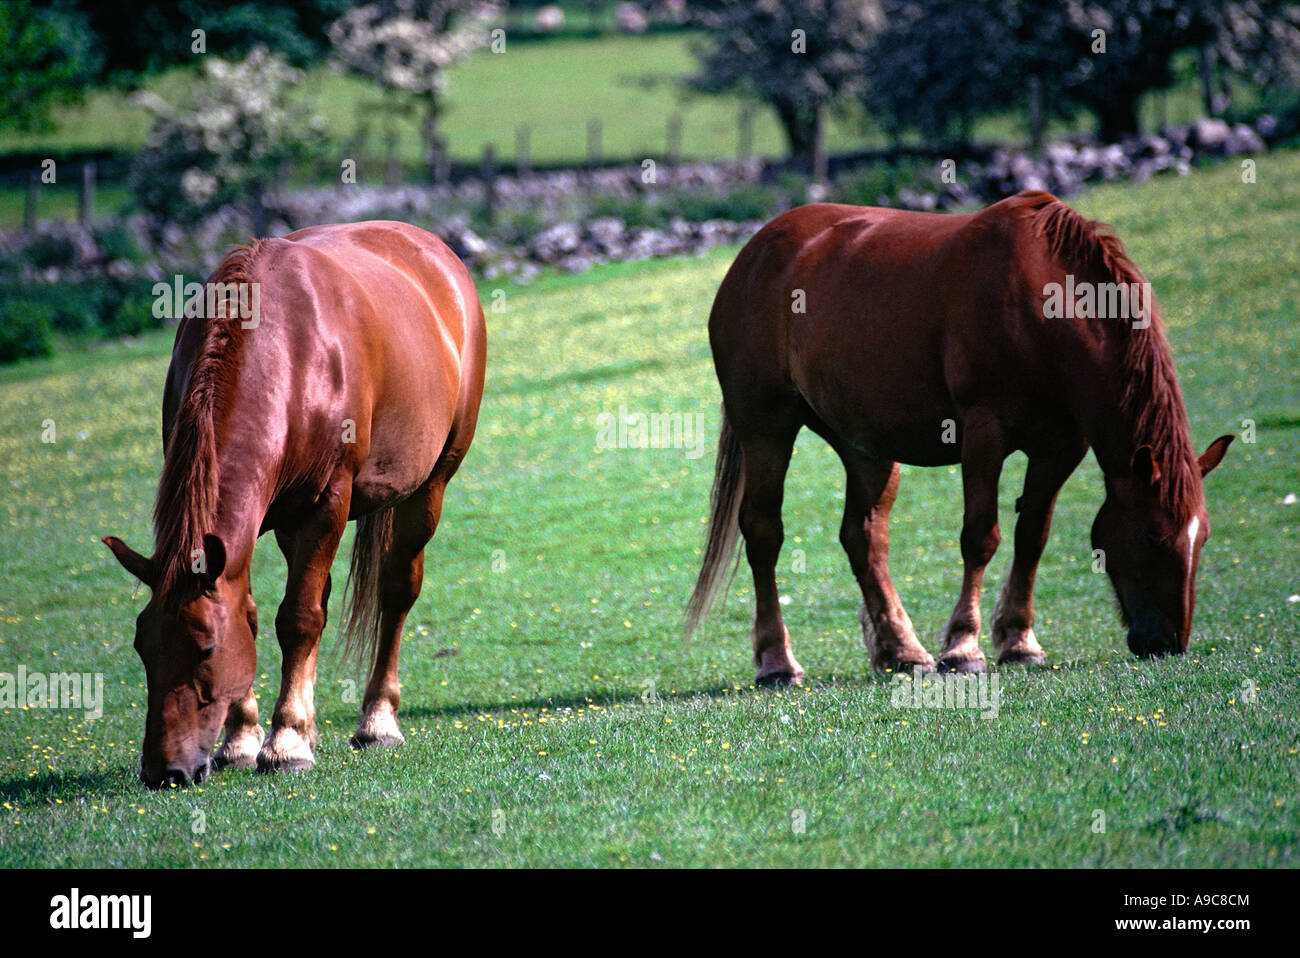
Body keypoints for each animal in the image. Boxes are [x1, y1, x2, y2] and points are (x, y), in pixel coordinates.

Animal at [103, 221, 486, 788]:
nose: (164, 771)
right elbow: (254, 613)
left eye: (204, 649)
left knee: (396, 590)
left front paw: (285, 742)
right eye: (142, 647)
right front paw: (243, 738)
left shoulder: (328, 503)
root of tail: (432, 248)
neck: (288, 354)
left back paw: (378, 721)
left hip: (430, 484)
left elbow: (300, 618)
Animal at [686, 191, 1232, 684]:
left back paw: (902, 651)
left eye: (1201, 537)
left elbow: (1032, 536)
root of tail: (754, 253)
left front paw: (1019, 640)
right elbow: (981, 536)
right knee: (764, 533)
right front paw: (964, 647)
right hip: (765, 425)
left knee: (864, 536)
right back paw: (777, 661)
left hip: (866, 444)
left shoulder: (1061, 448)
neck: (1039, 300)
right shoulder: (984, 433)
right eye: (1152, 536)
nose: (1168, 643)